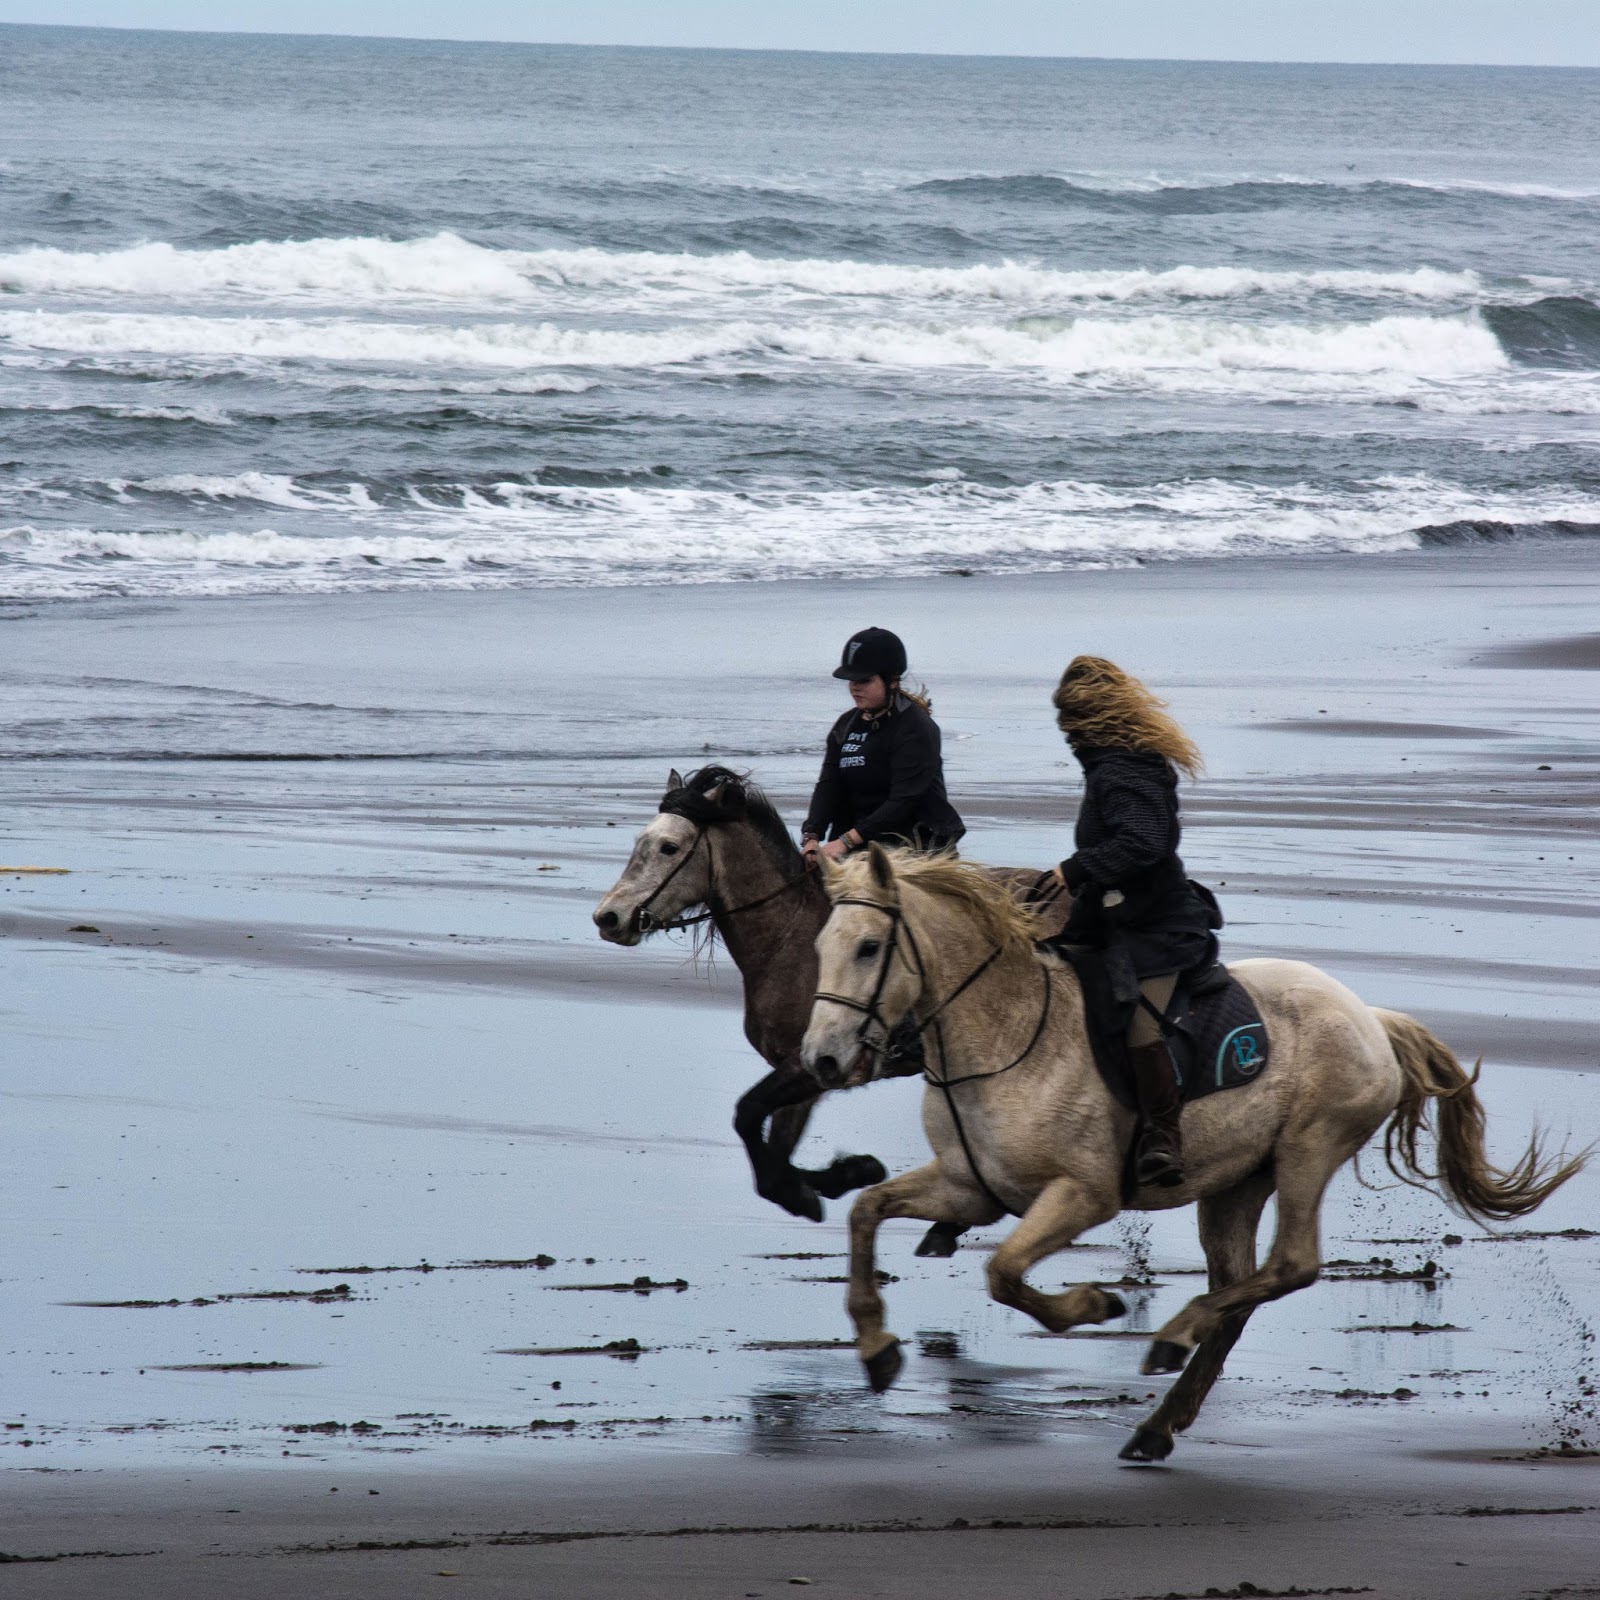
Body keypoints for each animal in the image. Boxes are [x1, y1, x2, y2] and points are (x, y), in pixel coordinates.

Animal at [592, 767, 1070, 1235]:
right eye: (640, 842)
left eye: (669, 847)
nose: (608, 918)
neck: (791, 939)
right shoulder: (804, 1067)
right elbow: (770, 1154)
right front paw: (838, 1178)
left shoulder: (810, 1068)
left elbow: (747, 1115)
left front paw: (831, 1181)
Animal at [799, 843, 1584, 1463]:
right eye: (820, 948)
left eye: (869, 948)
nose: (821, 1061)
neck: (1004, 1033)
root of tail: (1369, 1016)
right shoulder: (971, 1187)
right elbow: (867, 1210)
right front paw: (875, 1346)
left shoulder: (1081, 1195)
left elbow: (1004, 1275)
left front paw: (1093, 1303)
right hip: (1234, 1186)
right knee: (1240, 1293)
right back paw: (1160, 1418)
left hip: (1307, 1151)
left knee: (1291, 1265)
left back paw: (1172, 1337)